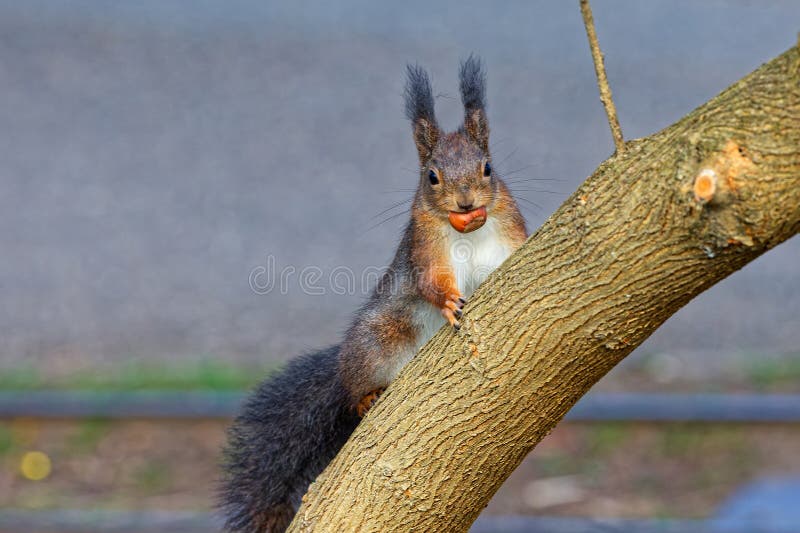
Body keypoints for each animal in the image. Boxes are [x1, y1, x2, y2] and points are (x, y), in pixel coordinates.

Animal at [219, 56, 527, 533]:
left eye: (488, 167)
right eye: (431, 176)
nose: (465, 202)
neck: (469, 230)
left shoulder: (509, 234)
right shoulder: (423, 248)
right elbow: (430, 282)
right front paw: (448, 302)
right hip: (378, 342)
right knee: (353, 389)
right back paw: (367, 396)